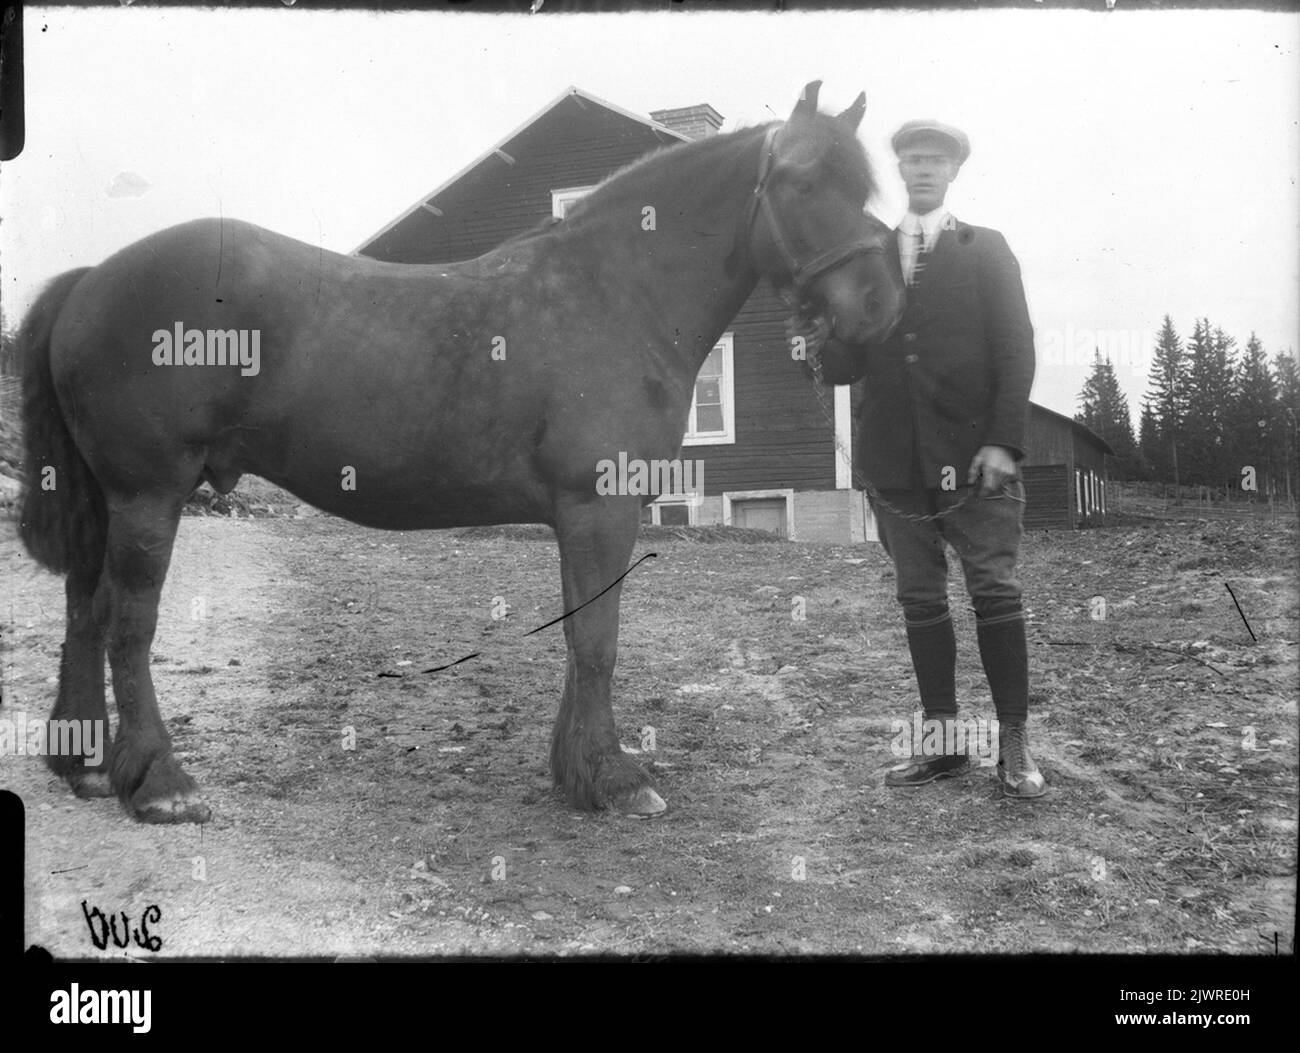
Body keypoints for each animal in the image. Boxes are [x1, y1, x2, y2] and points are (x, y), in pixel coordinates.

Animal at [17, 81, 904, 824]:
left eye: (861, 189)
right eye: (801, 183)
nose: (876, 311)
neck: (614, 293)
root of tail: (92, 277)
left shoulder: (580, 516)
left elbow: (582, 632)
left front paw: (574, 769)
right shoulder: (598, 507)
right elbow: (599, 640)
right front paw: (616, 778)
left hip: (111, 497)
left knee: (84, 610)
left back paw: (86, 762)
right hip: (149, 493)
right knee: (126, 621)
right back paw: (159, 782)